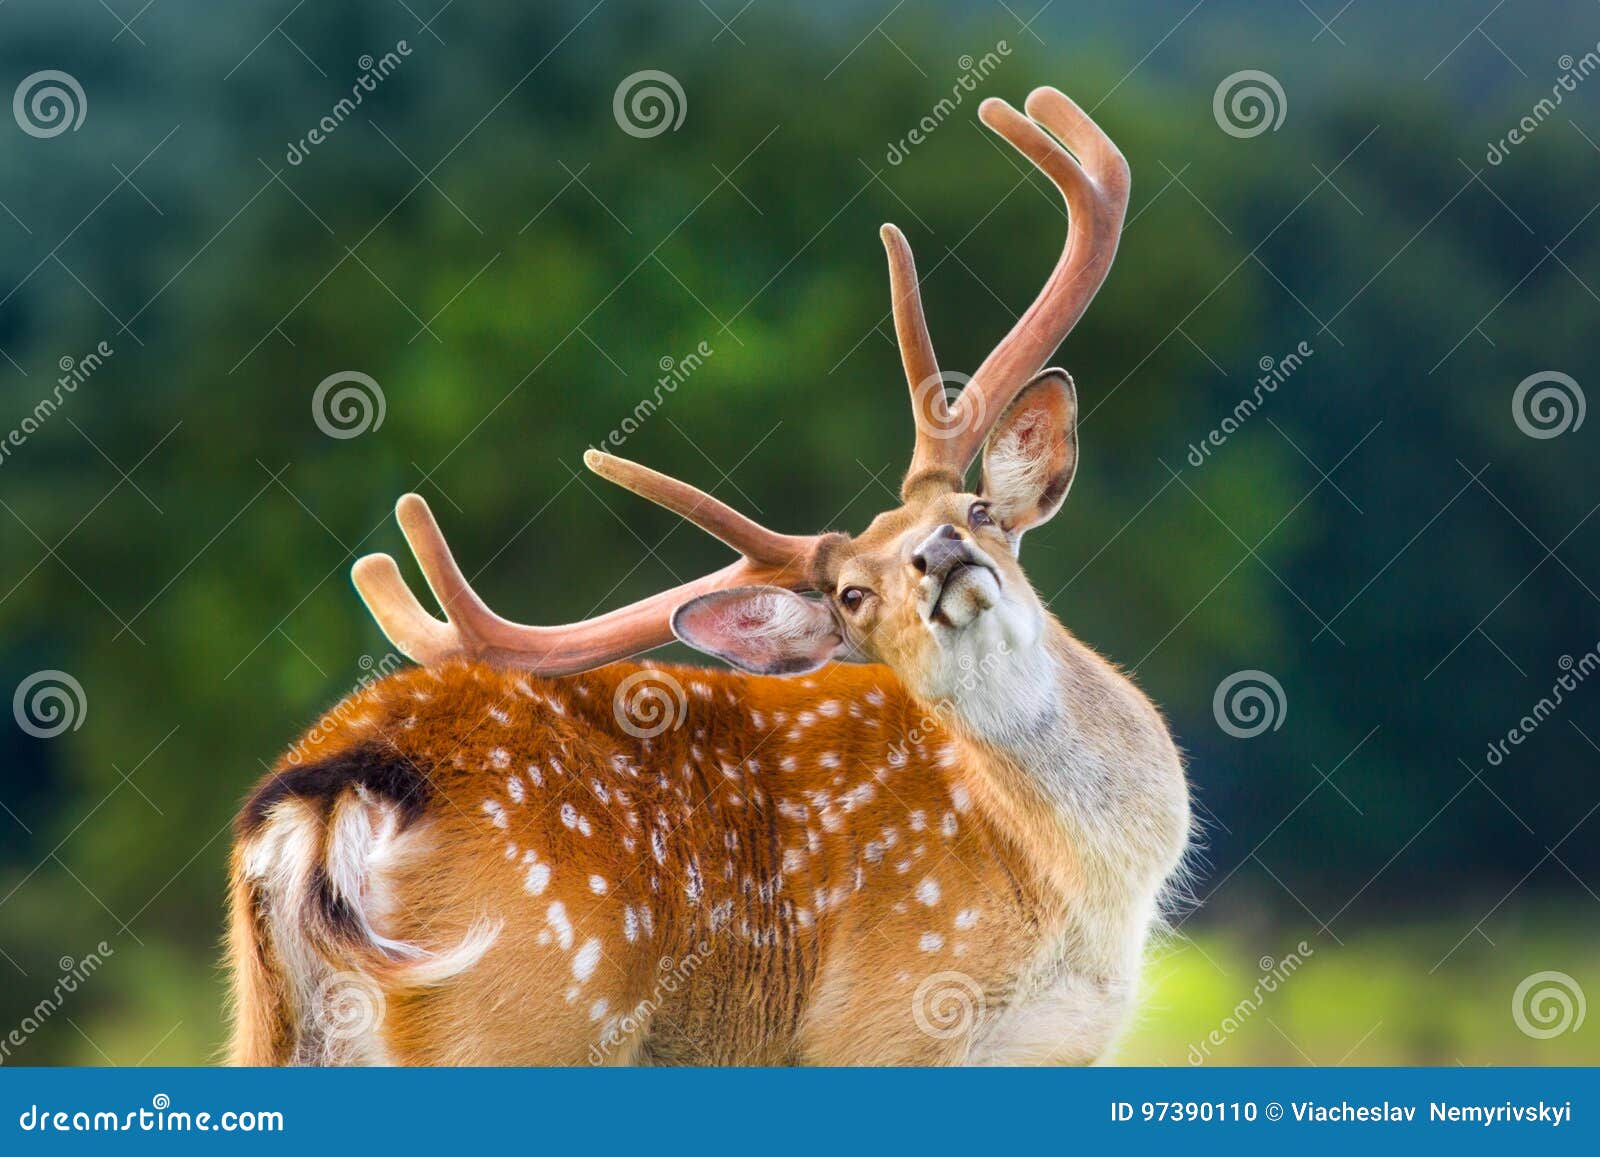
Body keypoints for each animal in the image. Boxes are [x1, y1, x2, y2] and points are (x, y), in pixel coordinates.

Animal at [227, 87, 1190, 1066]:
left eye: (980, 509)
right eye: (853, 596)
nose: (942, 555)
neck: (1081, 897)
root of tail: (335, 786)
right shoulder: (888, 1020)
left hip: (271, 1023)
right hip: (515, 1009)